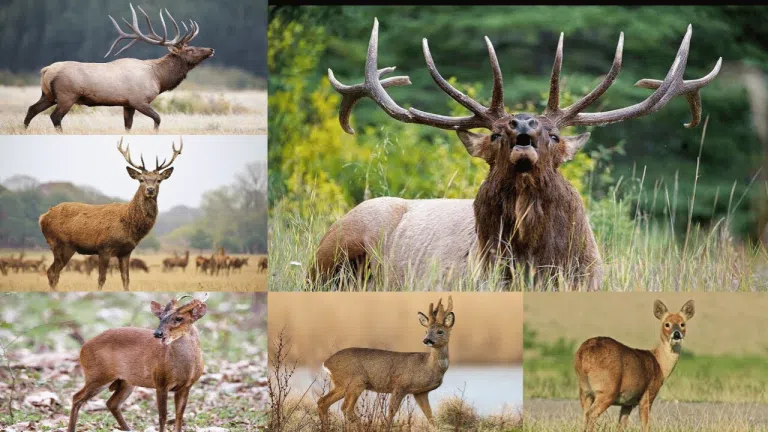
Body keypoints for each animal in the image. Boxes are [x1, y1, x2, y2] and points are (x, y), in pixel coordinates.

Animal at [23, 4, 214, 132]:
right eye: (190, 49)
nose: (211, 49)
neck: (158, 78)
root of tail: (46, 70)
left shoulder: (127, 103)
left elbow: (128, 126)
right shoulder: (139, 100)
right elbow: (158, 118)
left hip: (48, 94)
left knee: (32, 109)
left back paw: (24, 129)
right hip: (67, 95)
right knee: (55, 116)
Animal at [39, 137, 182, 291]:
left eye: (159, 180)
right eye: (141, 179)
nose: (150, 190)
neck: (129, 224)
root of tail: (42, 218)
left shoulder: (126, 252)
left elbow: (126, 279)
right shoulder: (104, 248)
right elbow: (101, 279)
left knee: (53, 272)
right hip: (61, 244)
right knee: (52, 272)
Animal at [67, 293, 208, 432]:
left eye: (179, 318)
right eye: (160, 318)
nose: (158, 333)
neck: (185, 369)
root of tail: (83, 348)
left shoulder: (186, 386)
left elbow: (179, 416)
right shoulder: (161, 383)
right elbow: (163, 416)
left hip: (125, 381)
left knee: (112, 403)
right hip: (98, 375)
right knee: (77, 397)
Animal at [318, 296, 455, 430]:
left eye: (440, 331)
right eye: (426, 331)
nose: (427, 340)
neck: (428, 366)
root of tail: (326, 363)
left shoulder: (420, 392)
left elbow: (430, 417)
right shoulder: (400, 385)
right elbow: (391, 412)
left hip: (341, 384)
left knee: (322, 402)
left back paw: (326, 427)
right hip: (356, 381)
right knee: (346, 408)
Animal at [574, 299, 695, 432]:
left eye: (682, 324)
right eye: (667, 324)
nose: (676, 334)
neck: (660, 364)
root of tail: (584, 354)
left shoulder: (628, 402)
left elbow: (621, 425)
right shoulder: (648, 394)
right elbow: (646, 425)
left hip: (585, 391)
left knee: (585, 415)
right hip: (607, 390)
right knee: (591, 414)